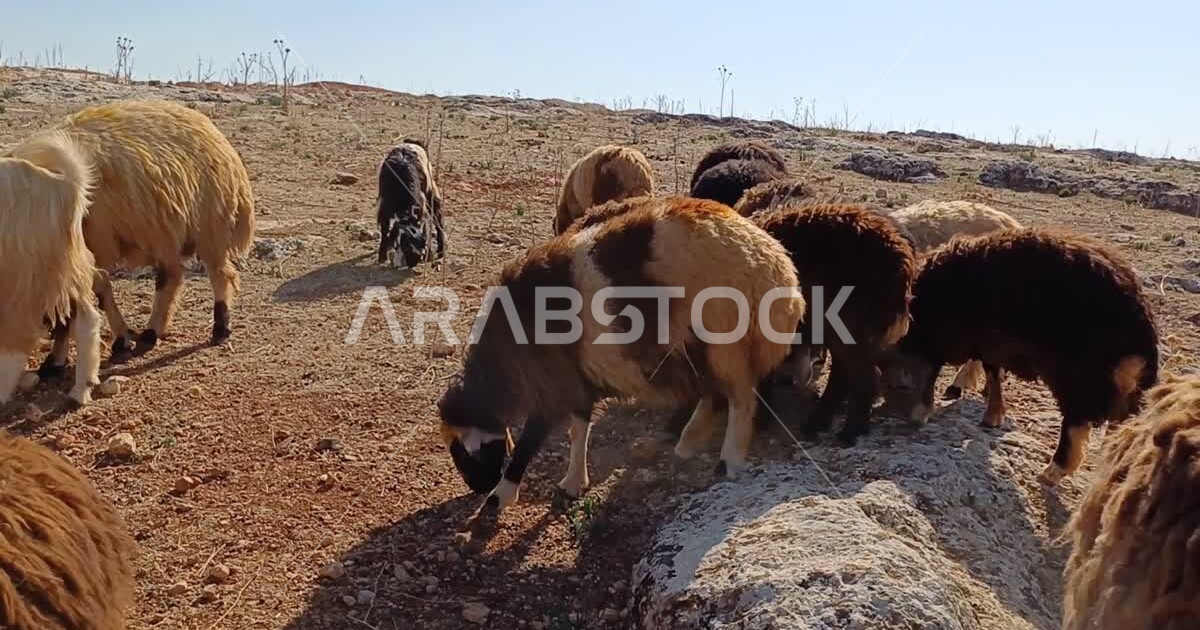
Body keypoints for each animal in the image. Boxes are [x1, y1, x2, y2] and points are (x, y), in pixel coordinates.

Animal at [0, 130, 103, 406]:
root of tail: (63, 186)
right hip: (63, 269)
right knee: (86, 320)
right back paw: (82, 388)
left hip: (26, 272)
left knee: (18, 339)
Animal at [38, 99, 255, 364]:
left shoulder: (91, 246)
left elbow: (85, 299)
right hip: (165, 233)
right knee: (172, 276)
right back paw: (152, 332)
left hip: (211, 225)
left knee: (219, 274)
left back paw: (220, 328)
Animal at [377, 138, 446, 269]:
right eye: (405, 245)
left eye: (422, 244)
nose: (412, 263)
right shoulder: (384, 209)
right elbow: (385, 230)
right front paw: (382, 256)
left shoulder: (421, 208)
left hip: (431, 191)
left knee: (438, 218)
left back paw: (441, 250)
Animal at [438, 196, 804, 509]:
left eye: (463, 454)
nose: (479, 488)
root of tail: (779, 270)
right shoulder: (578, 378)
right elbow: (578, 430)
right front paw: (574, 483)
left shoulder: (552, 382)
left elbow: (531, 439)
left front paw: (500, 496)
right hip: (704, 351)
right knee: (715, 394)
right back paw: (689, 441)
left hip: (726, 344)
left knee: (742, 398)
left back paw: (729, 460)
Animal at [880, 228, 1159, 484]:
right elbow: (991, 370)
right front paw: (992, 415)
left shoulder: (953, 339)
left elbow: (957, 371)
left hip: (1076, 372)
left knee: (1076, 421)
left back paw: (1053, 471)